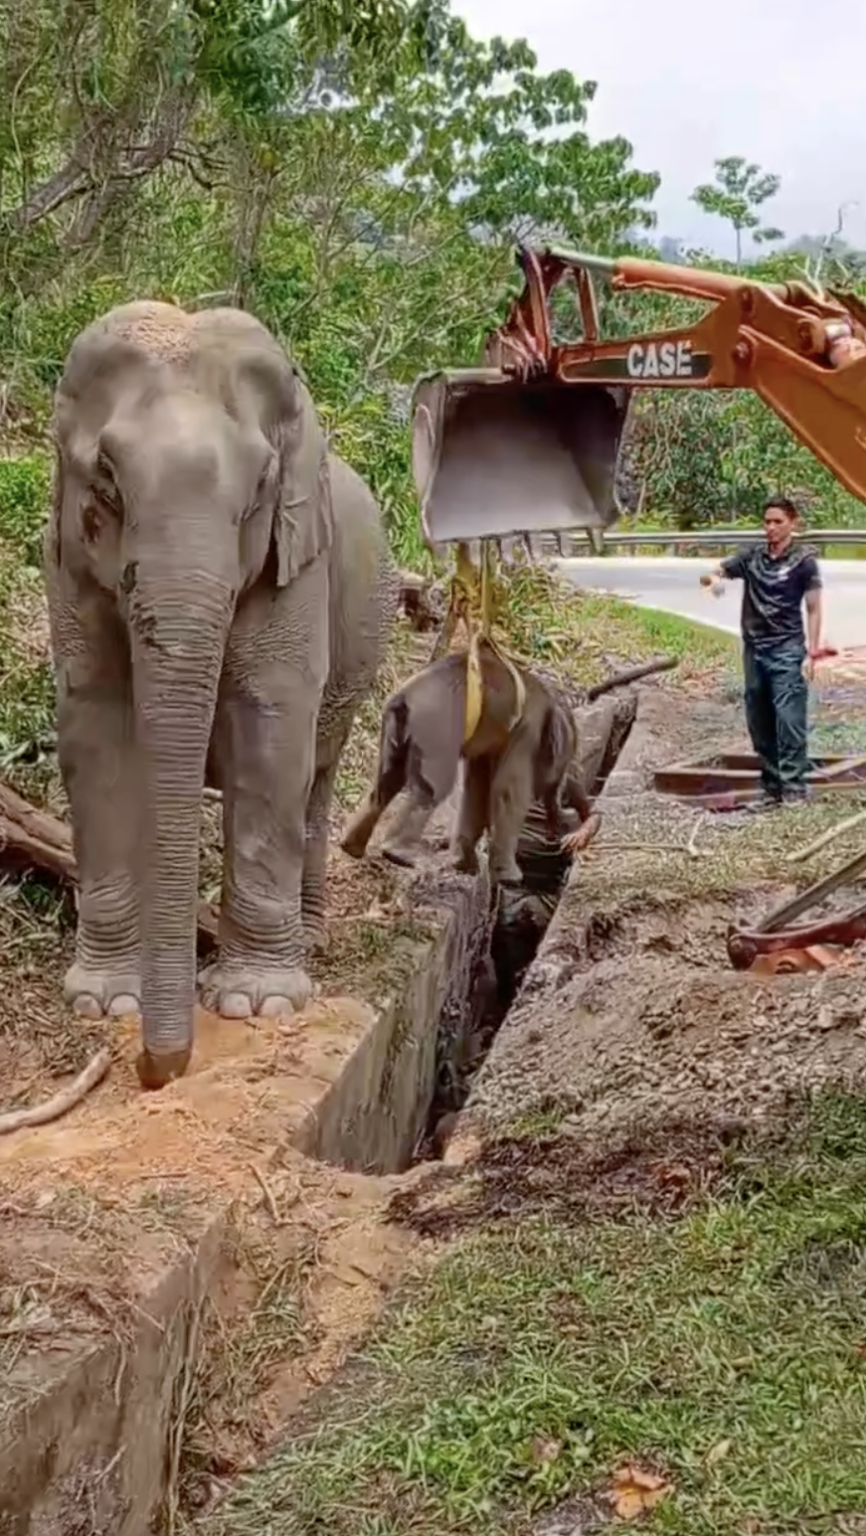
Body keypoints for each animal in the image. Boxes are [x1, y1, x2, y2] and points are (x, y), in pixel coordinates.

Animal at [46, 299, 398, 1090]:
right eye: (106, 478)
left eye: (261, 485)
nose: (157, 1069)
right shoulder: (68, 561)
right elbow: (94, 725)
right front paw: (104, 1003)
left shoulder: (296, 561)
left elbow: (271, 728)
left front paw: (255, 1004)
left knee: (315, 777)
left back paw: (311, 939)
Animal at [340, 641, 578, 886]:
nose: (560, 835)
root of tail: (402, 698)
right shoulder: (526, 732)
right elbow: (507, 791)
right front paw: (511, 878)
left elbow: (478, 788)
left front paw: (465, 866)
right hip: (434, 732)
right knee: (431, 788)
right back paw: (400, 855)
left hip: (393, 732)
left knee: (386, 781)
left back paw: (351, 847)